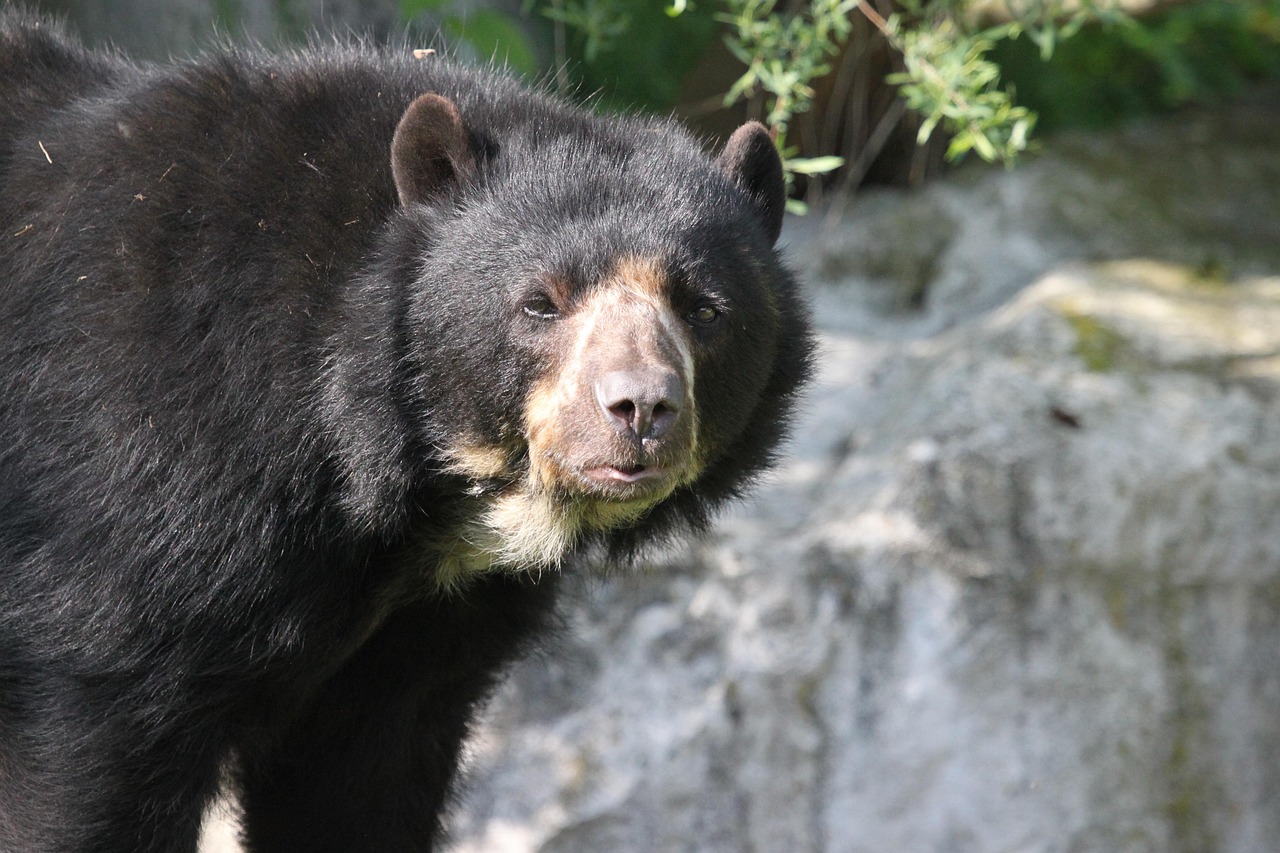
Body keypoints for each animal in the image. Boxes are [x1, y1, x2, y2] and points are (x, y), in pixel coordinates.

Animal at [0, 9, 812, 853]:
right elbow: (95, 754)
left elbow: (357, 787)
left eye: (704, 310)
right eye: (540, 303)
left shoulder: (419, 641)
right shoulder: (130, 496)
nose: (641, 409)